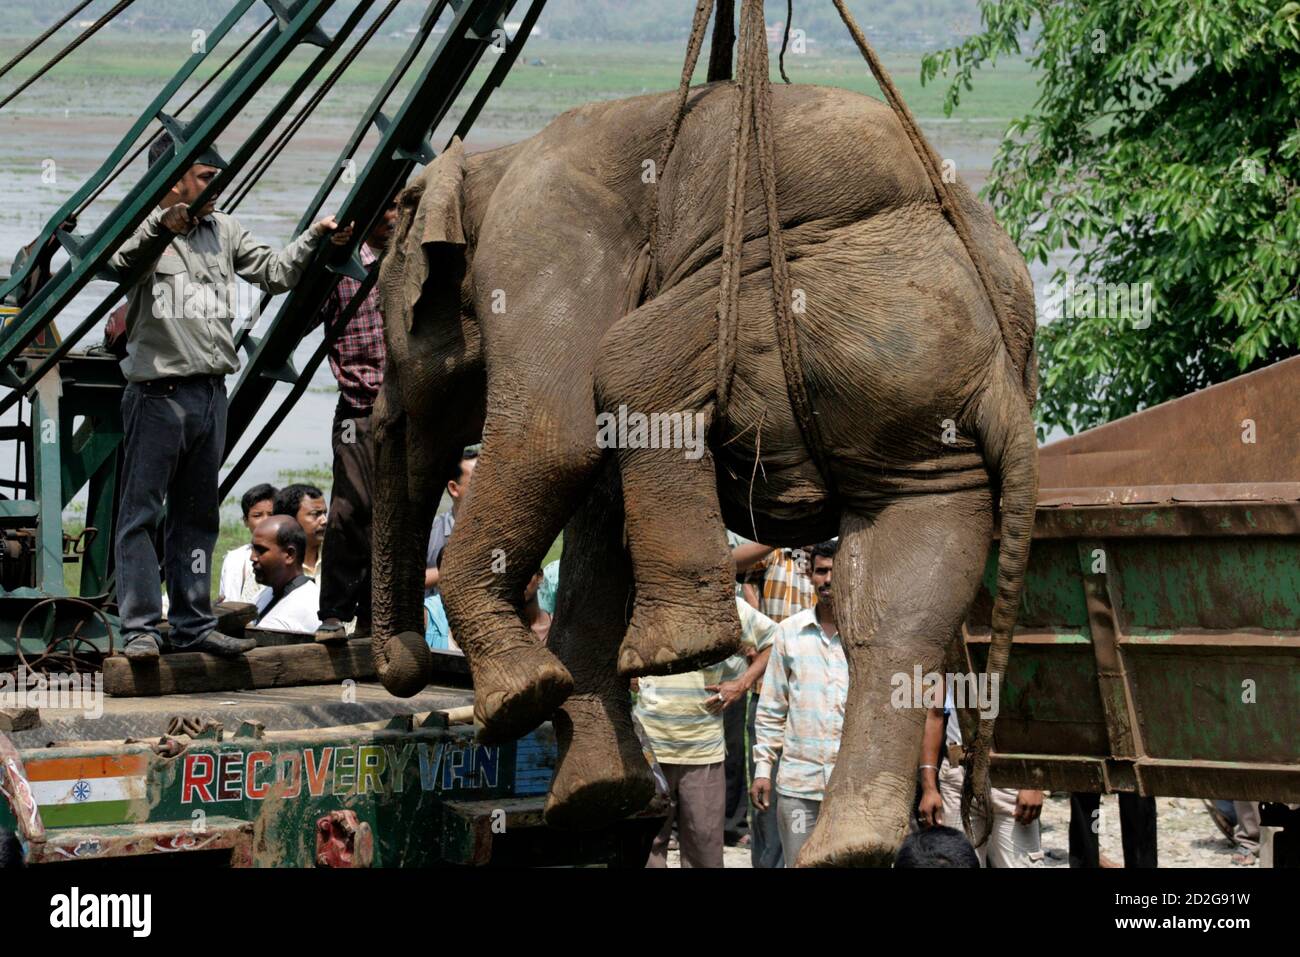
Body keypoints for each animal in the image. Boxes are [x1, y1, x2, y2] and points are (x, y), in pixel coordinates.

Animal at [370, 79, 1038, 866]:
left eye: (388, 338)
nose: (406, 667)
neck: (489, 161)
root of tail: (999, 375)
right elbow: (596, 495)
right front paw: (598, 793)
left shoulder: (537, 244)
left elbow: (554, 441)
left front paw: (519, 697)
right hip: (922, 421)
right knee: (895, 607)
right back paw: (847, 844)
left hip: (810, 306)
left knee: (632, 365)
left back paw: (676, 648)